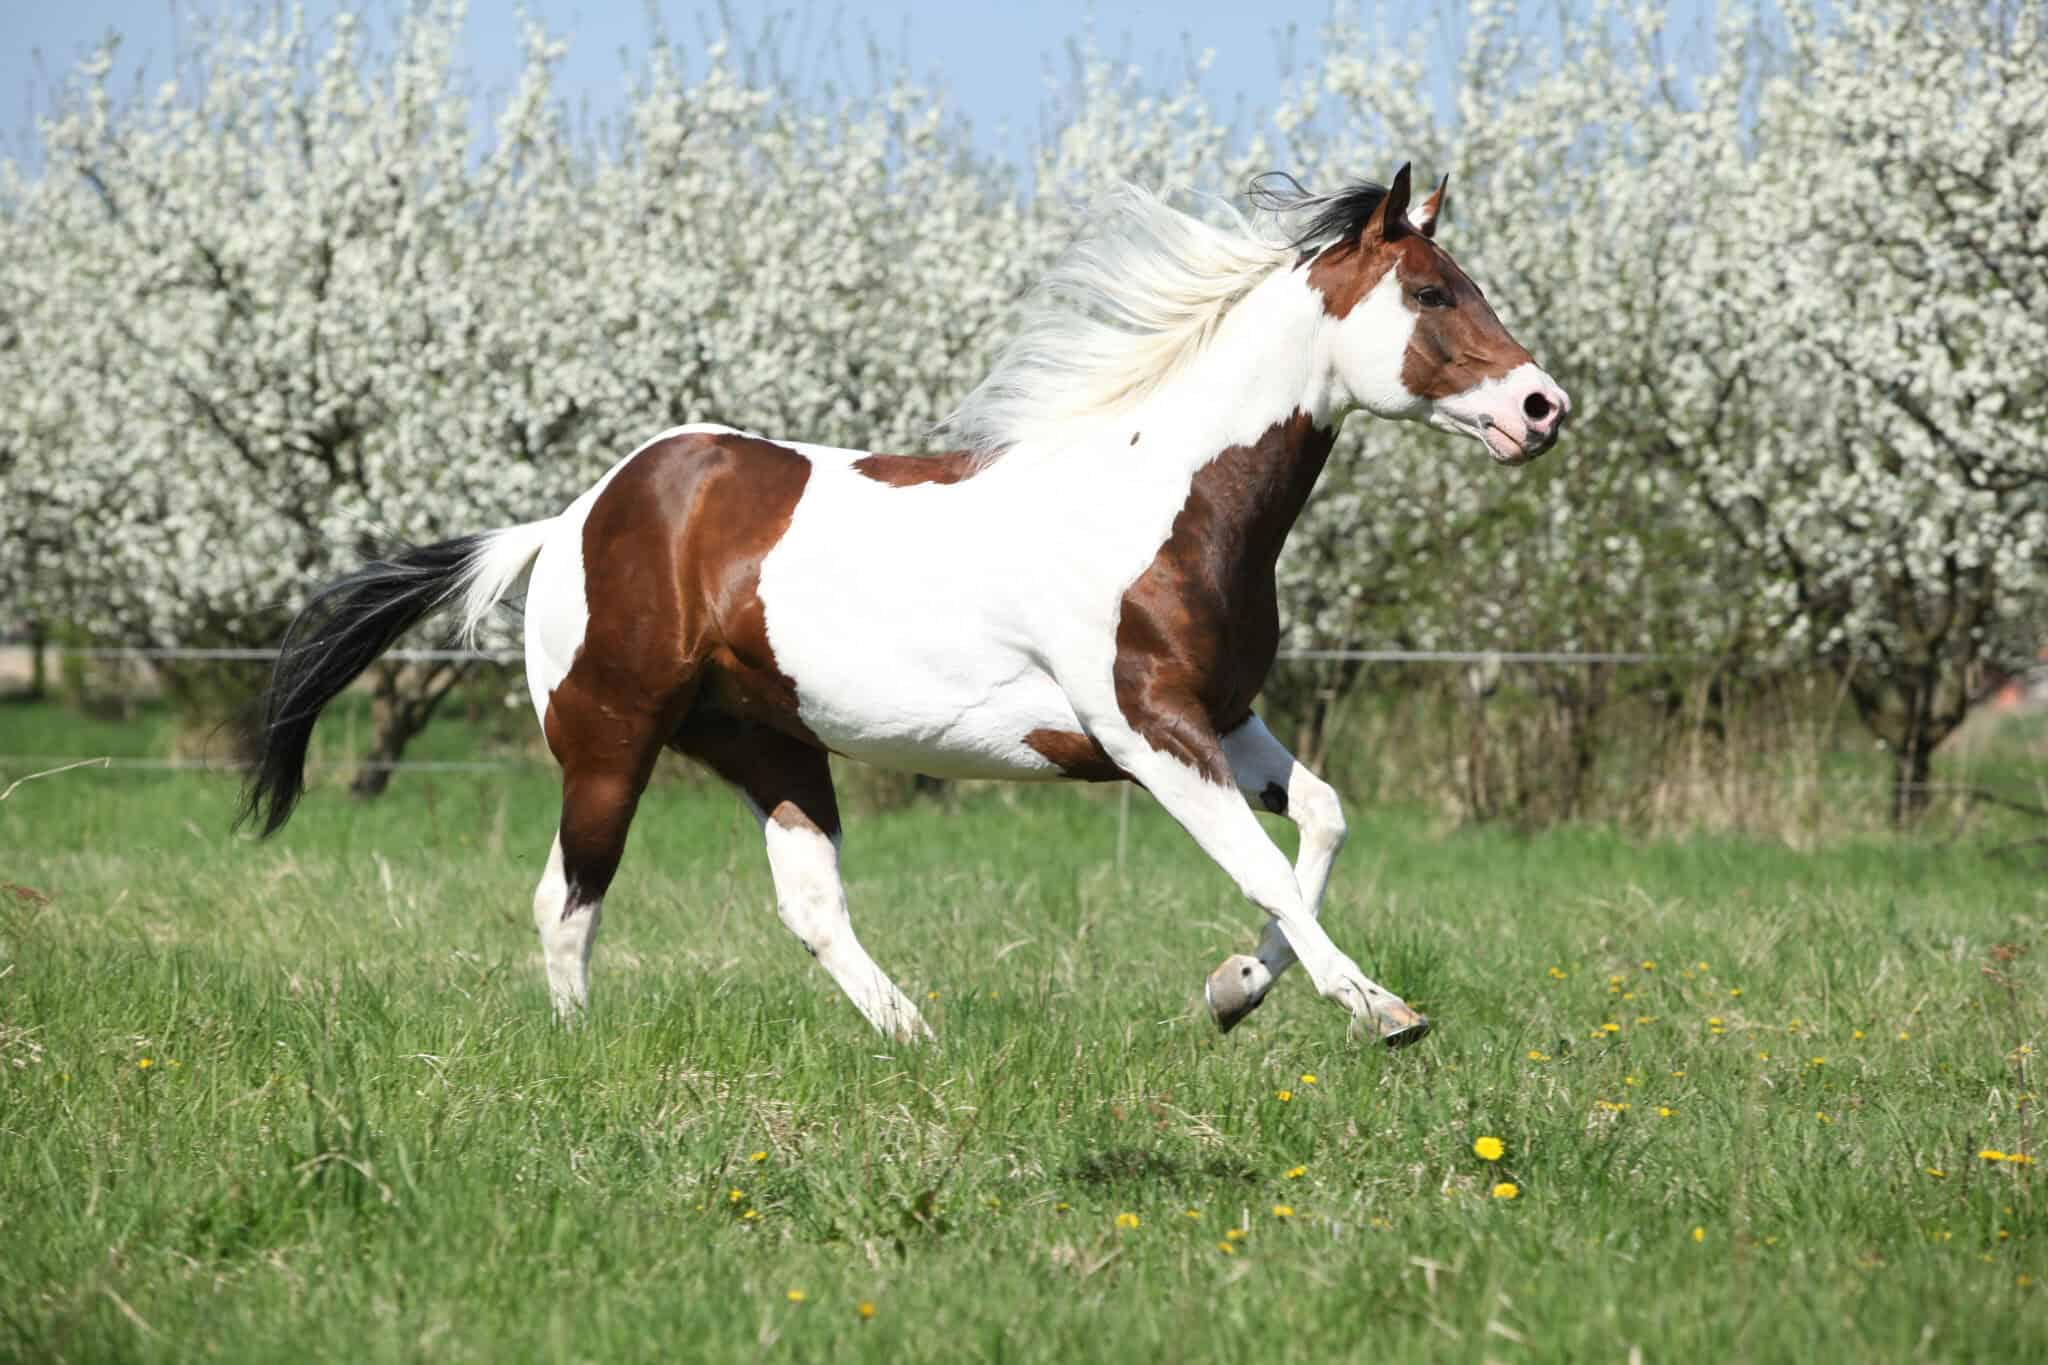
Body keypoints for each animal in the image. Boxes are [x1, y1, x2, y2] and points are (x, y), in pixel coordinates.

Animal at [239, 164, 1569, 1047]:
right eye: (1432, 292)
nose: (1542, 408)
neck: (1154, 498)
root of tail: (567, 522)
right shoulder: (1146, 731)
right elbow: (1264, 869)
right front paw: (1381, 1012)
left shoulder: (1223, 718)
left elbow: (1322, 825)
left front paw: (1232, 993)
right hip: (611, 740)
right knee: (568, 899)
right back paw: (584, 1050)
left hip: (768, 744)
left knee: (809, 907)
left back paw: (914, 1037)